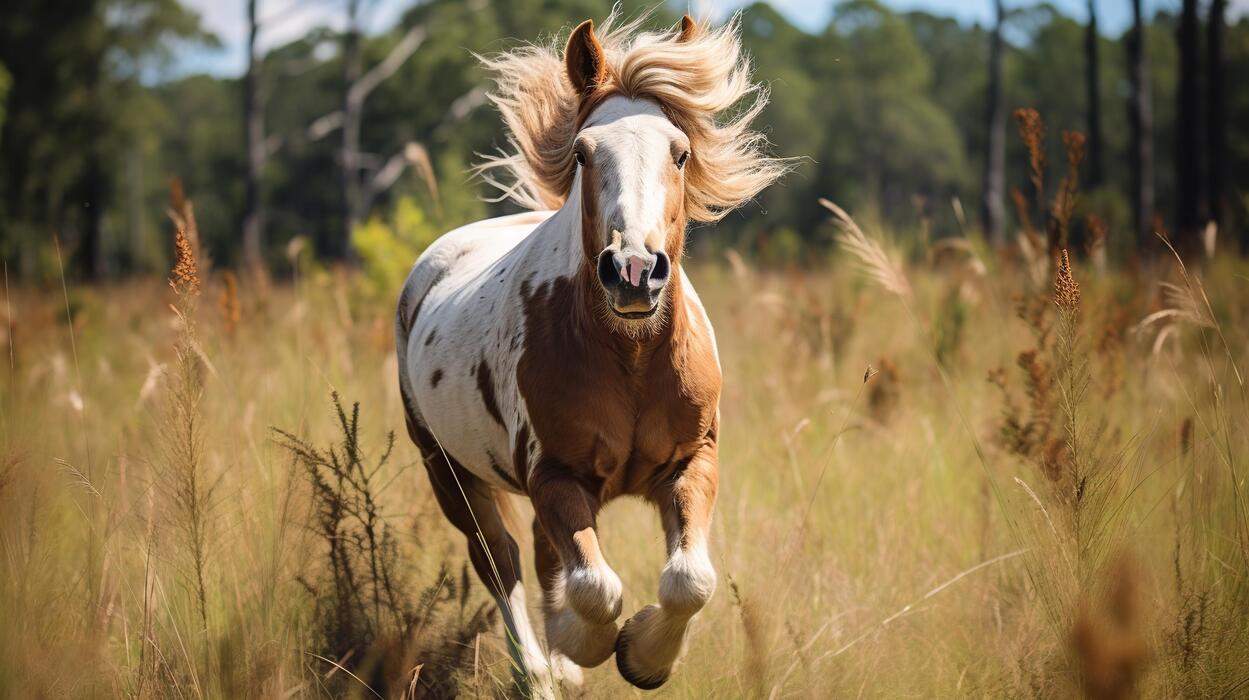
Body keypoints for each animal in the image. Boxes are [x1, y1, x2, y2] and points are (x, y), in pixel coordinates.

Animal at [395, 12, 785, 692]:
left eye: (681, 152)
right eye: (583, 152)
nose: (633, 271)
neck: (629, 361)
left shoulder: (693, 461)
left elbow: (690, 579)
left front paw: (644, 658)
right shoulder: (555, 476)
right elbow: (595, 588)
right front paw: (586, 646)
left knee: (540, 555)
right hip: (446, 471)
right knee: (499, 560)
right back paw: (539, 672)